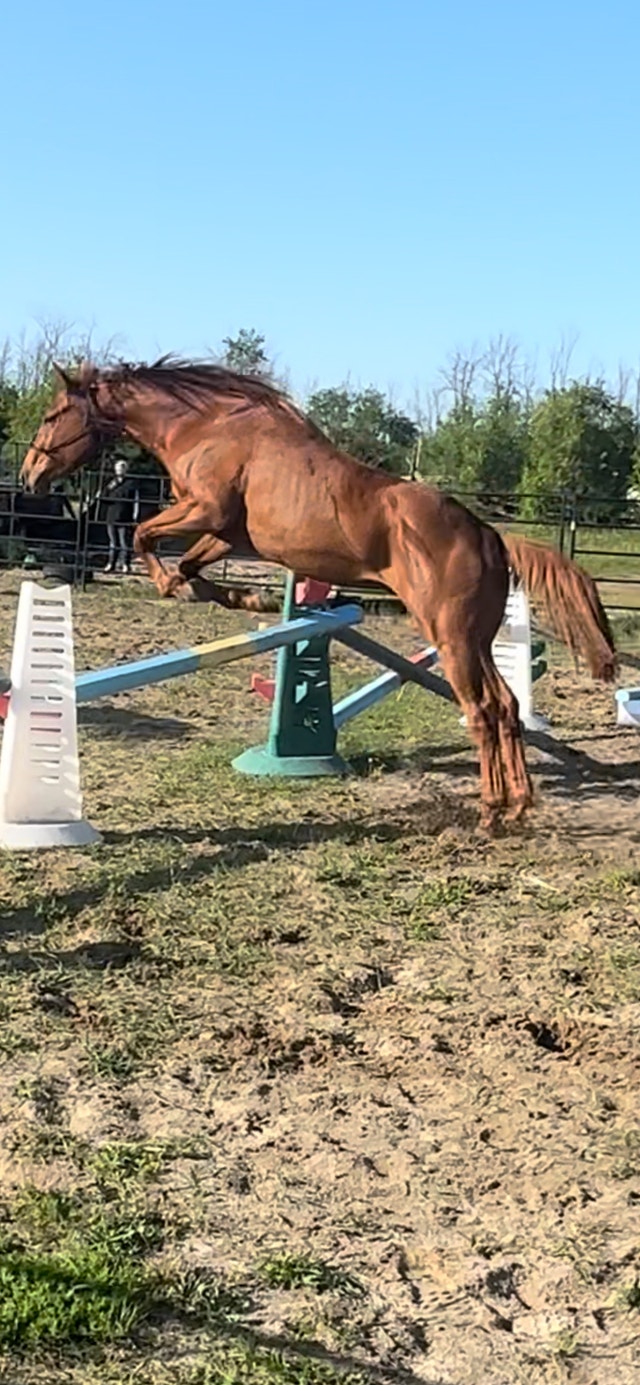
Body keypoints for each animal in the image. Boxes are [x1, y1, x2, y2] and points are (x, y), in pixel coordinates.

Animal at [20, 358, 616, 828]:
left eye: (52, 416)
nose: (29, 476)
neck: (205, 427)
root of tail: (490, 535)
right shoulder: (227, 533)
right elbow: (192, 566)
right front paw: (249, 600)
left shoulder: (204, 511)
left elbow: (147, 538)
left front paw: (182, 589)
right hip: (475, 640)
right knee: (508, 706)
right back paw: (519, 804)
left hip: (450, 638)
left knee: (484, 709)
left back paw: (492, 810)